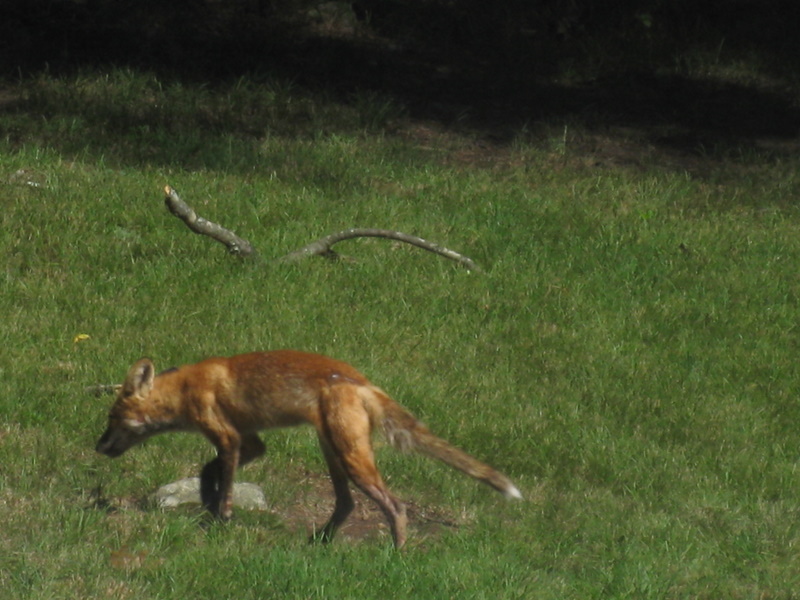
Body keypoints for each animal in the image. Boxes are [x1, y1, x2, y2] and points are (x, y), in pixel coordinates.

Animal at [96, 350, 522, 548]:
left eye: (113, 417)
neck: (185, 389)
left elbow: (223, 481)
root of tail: (363, 381)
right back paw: (319, 542)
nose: (97, 447)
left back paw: (397, 553)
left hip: (351, 458)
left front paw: (220, 517)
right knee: (347, 504)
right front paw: (208, 505)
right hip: (332, 452)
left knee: (395, 506)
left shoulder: (229, 439)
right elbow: (207, 471)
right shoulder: (251, 442)